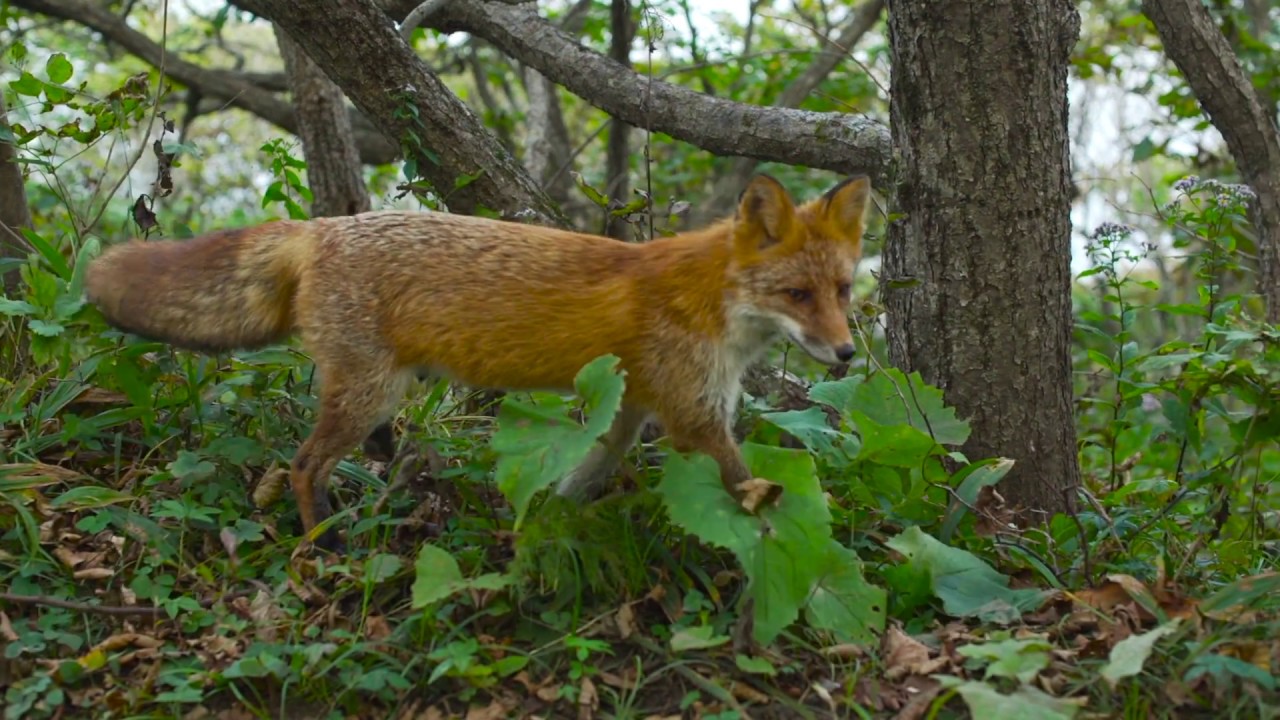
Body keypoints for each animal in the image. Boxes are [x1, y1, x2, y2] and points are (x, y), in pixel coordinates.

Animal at [85, 173, 872, 548]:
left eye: (841, 290)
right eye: (796, 294)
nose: (844, 352)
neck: (710, 301)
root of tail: (323, 225)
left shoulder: (634, 403)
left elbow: (591, 466)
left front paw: (553, 515)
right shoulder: (694, 414)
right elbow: (742, 482)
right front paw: (775, 520)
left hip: (378, 391)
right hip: (368, 393)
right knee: (303, 466)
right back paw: (324, 543)